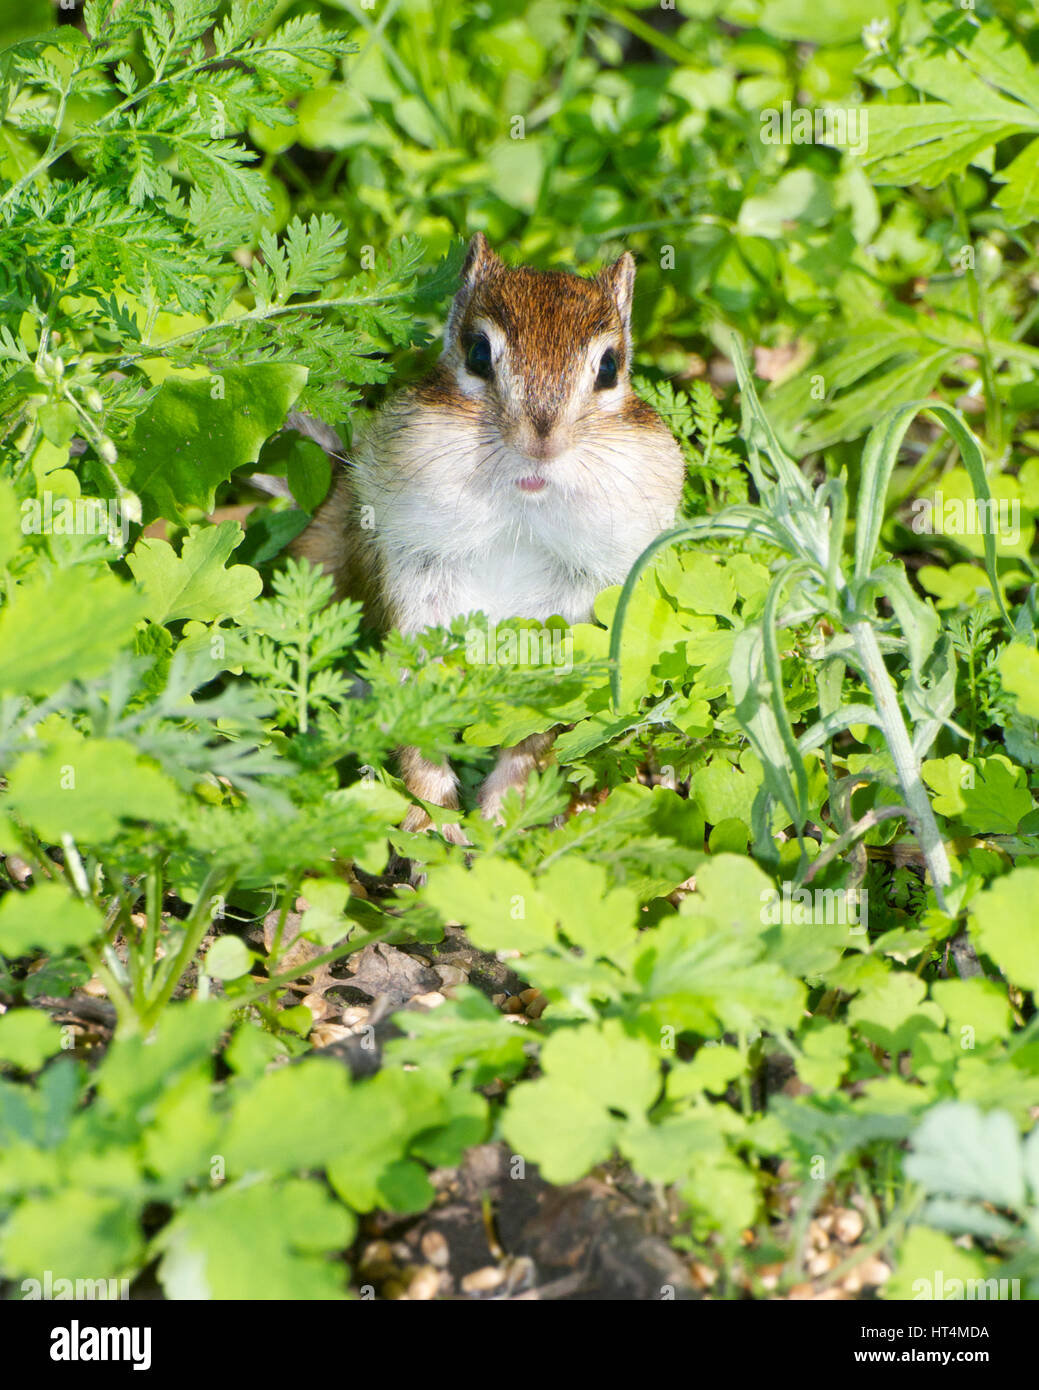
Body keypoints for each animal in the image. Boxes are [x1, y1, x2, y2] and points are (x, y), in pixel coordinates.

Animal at [294, 232, 685, 834]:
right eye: (478, 352)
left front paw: (505, 815)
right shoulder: (417, 587)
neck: (521, 516)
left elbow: (533, 732)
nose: (540, 443)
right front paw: (434, 819)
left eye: (610, 367)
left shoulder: (566, 616)